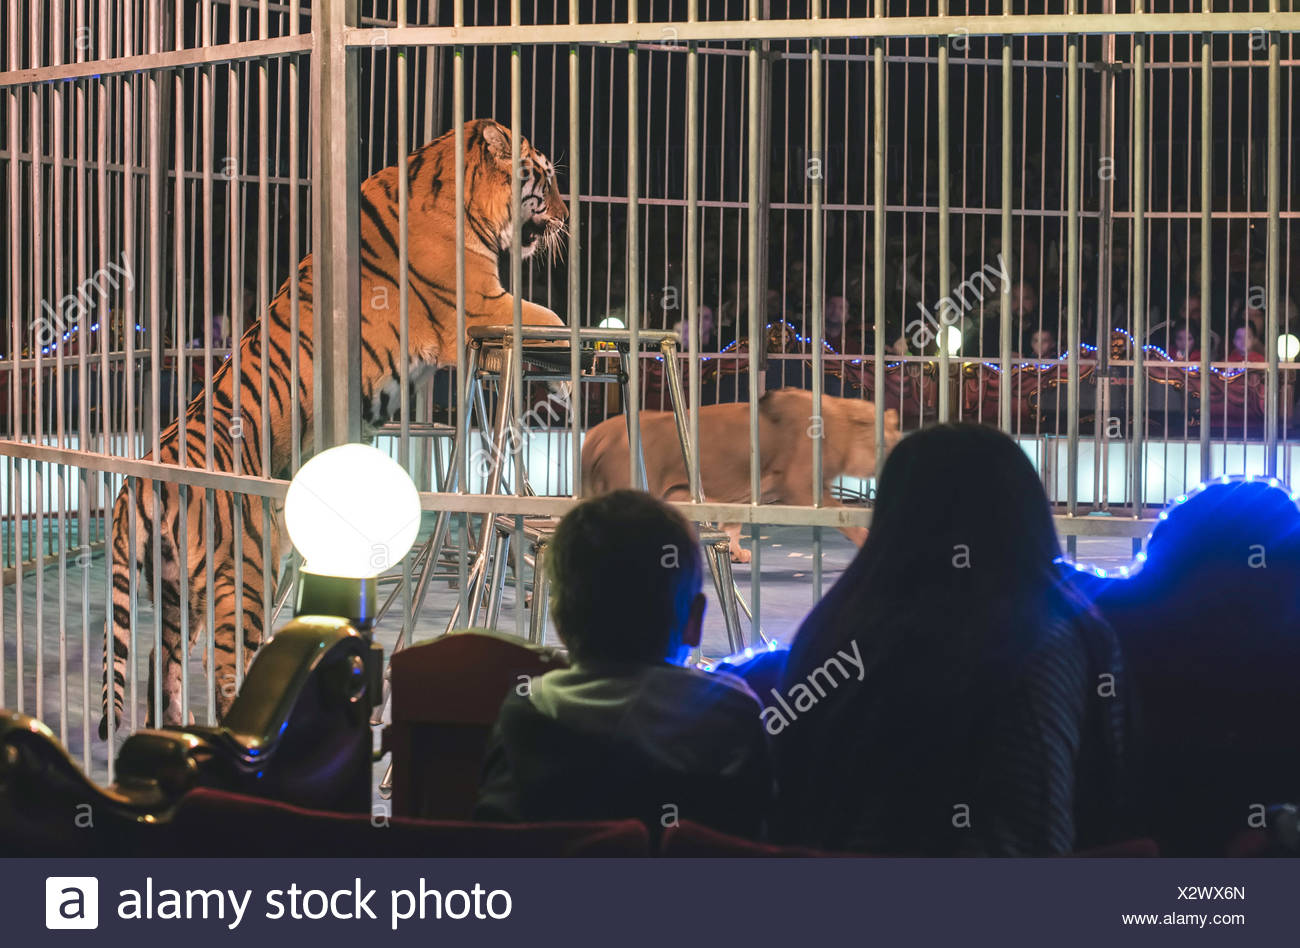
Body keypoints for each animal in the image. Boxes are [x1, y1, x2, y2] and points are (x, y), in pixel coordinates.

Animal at [100, 118, 568, 738]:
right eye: (546, 180)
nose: (566, 216)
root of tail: (138, 485)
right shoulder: (484, 309)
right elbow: (554, 322)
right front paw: (566, 384)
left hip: (176, 594)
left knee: (163, 660)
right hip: (247, 571)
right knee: (223, 671)